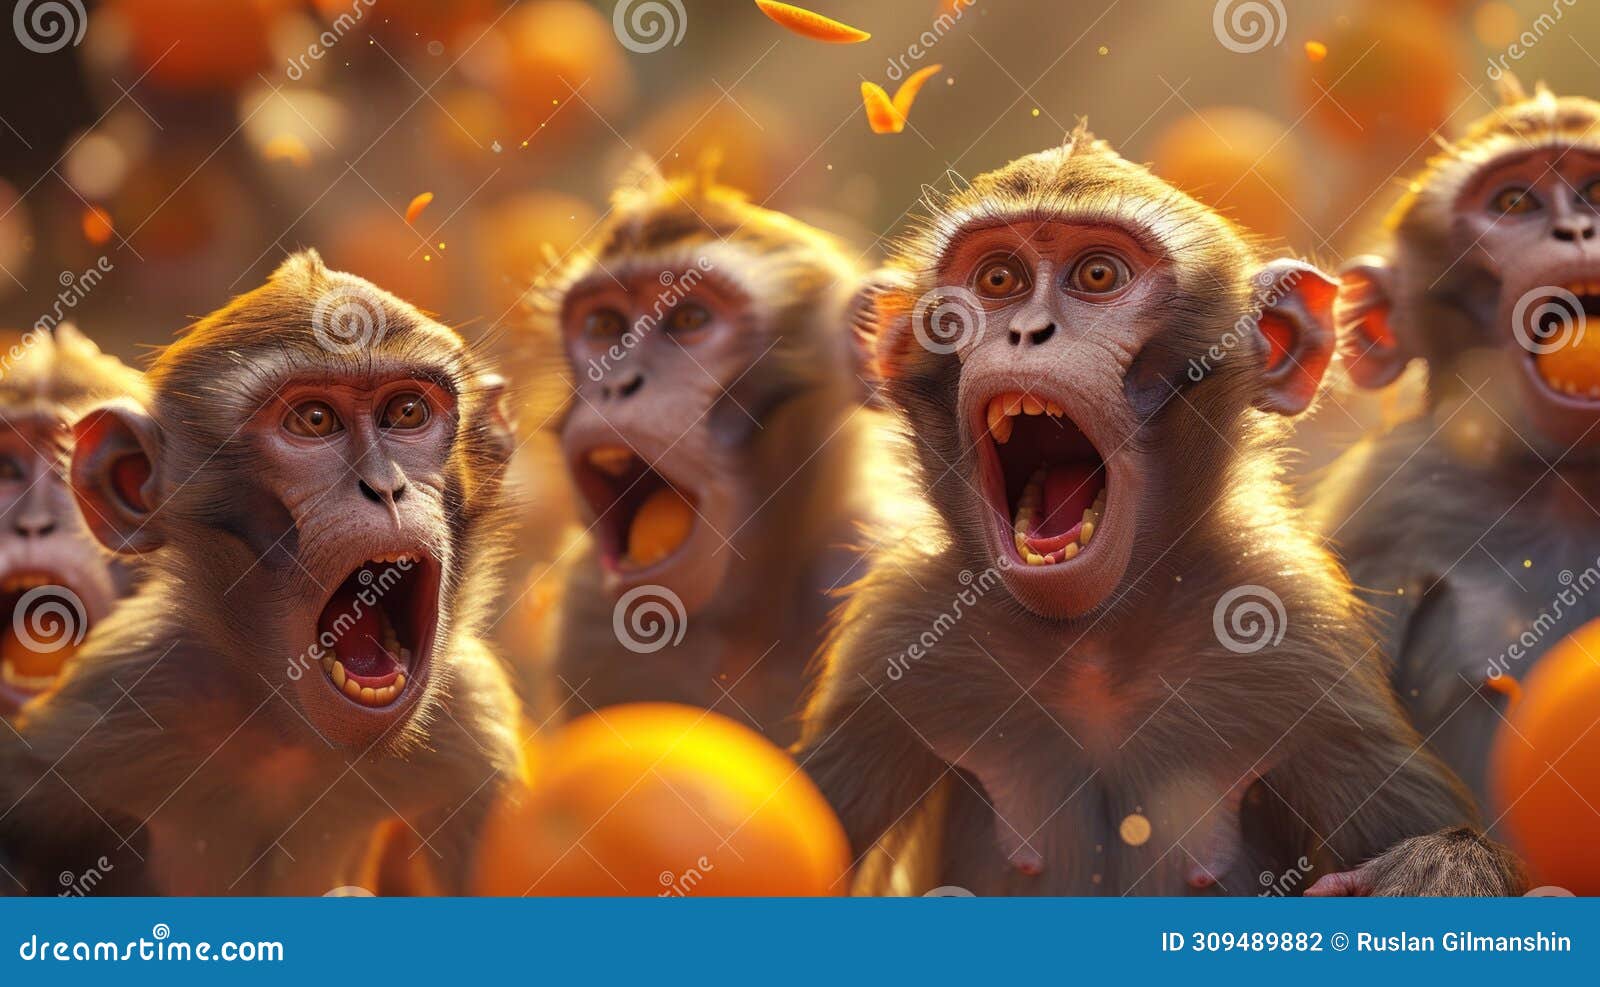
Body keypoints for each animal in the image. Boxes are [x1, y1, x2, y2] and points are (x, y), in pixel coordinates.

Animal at [0, 251, 521, 895]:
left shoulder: (473, 725)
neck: (285, 730)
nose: (385, 488)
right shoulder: (95, 716)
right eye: (314, 420)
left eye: (406, 412)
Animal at [793, 128, 1526, 897]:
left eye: (1097, 276)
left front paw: (1435, 863)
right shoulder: (898, 636)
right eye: (998, 281)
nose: (1028, 330)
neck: (1092, 642)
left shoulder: (1299, 635)